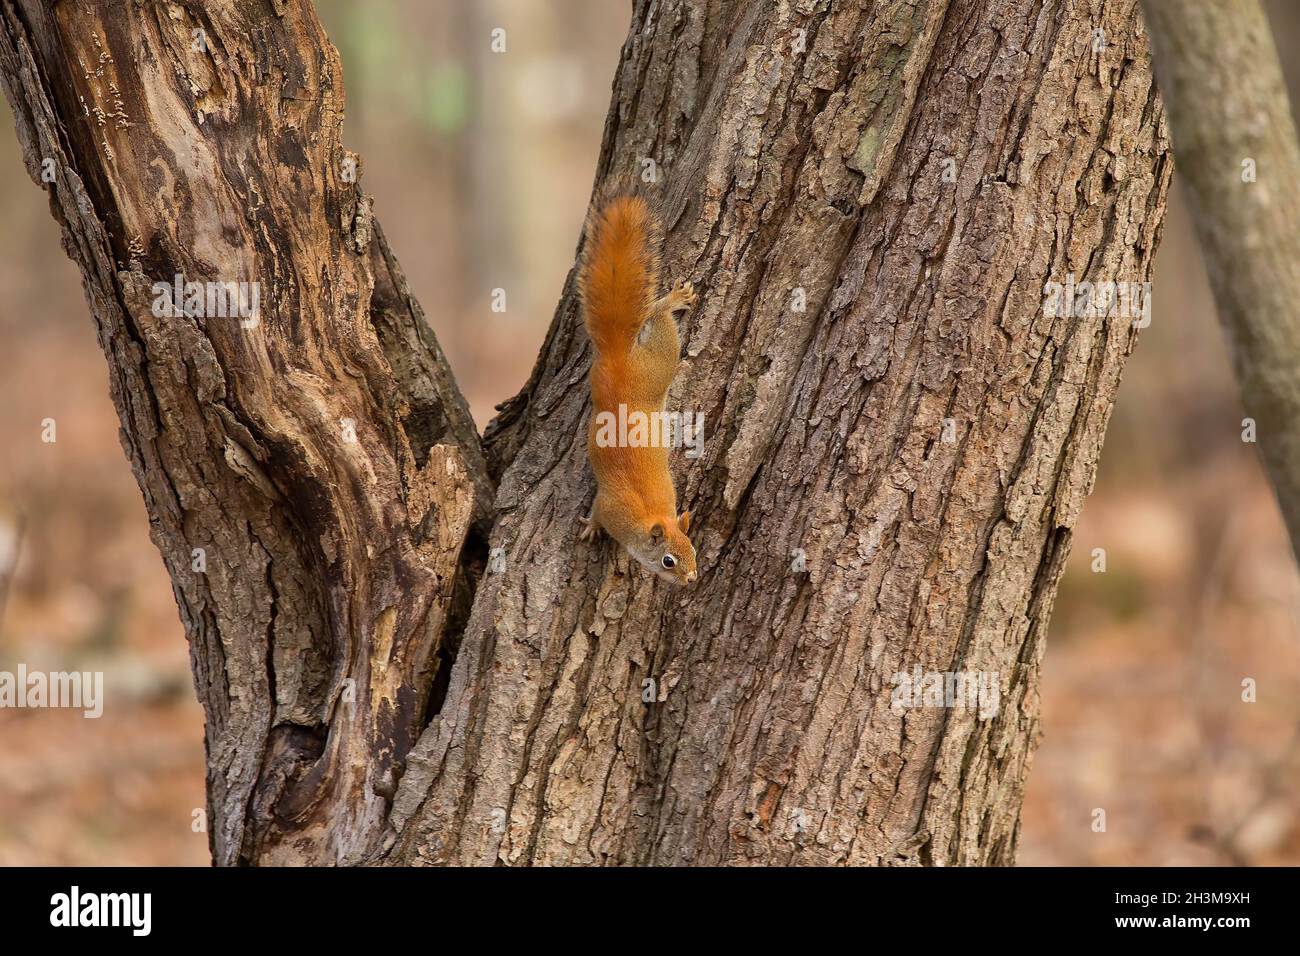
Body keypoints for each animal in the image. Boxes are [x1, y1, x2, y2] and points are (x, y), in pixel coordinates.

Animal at [577, 195, 699, 586]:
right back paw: (672, 301)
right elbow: (597, 511)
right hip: (660, 359)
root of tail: (616, 359)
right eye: (668, 561)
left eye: (693, 548)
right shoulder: (610, 508)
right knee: (658, 316)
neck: (649, 516)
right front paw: (591, 528)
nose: (692, 579)